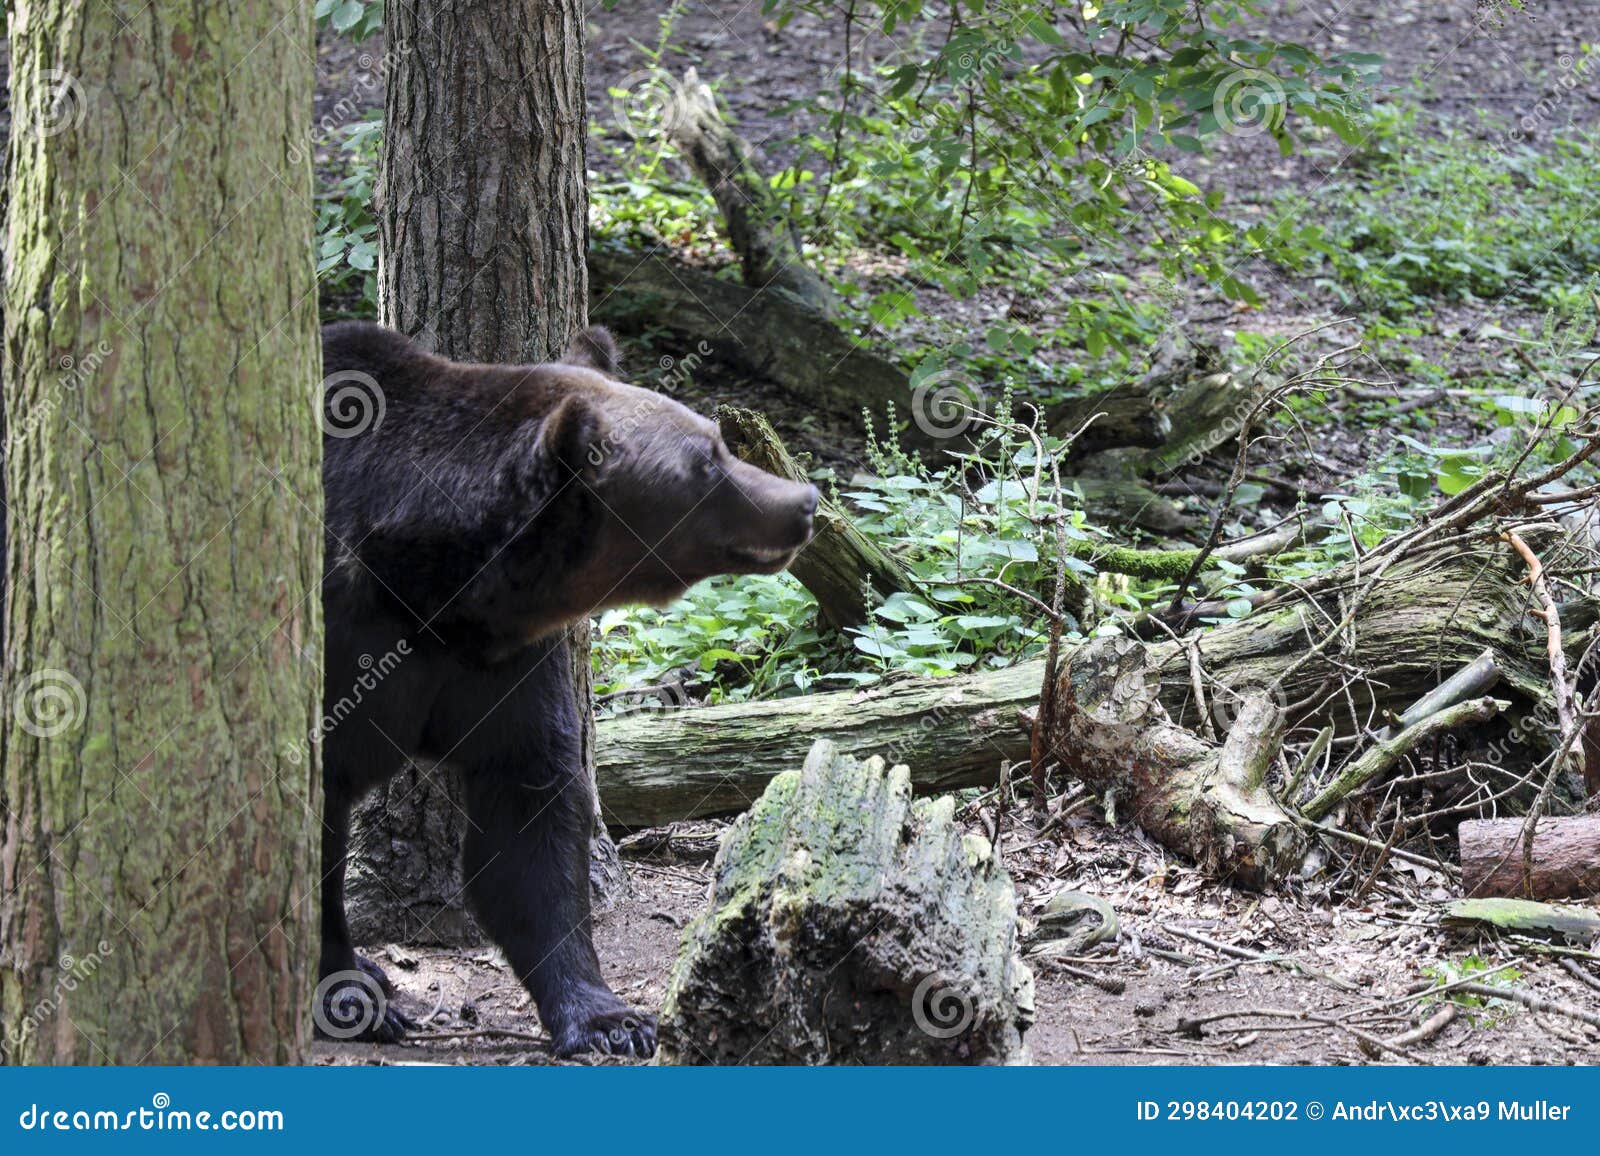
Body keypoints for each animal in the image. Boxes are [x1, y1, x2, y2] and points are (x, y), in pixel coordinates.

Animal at [315, 320, 818, 1057]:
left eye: (717, 439)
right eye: (708, 459)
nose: (803, 502)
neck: (434, 593)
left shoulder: (503, 666)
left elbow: (530, 816)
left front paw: (610, 1018)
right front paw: (348, 995)